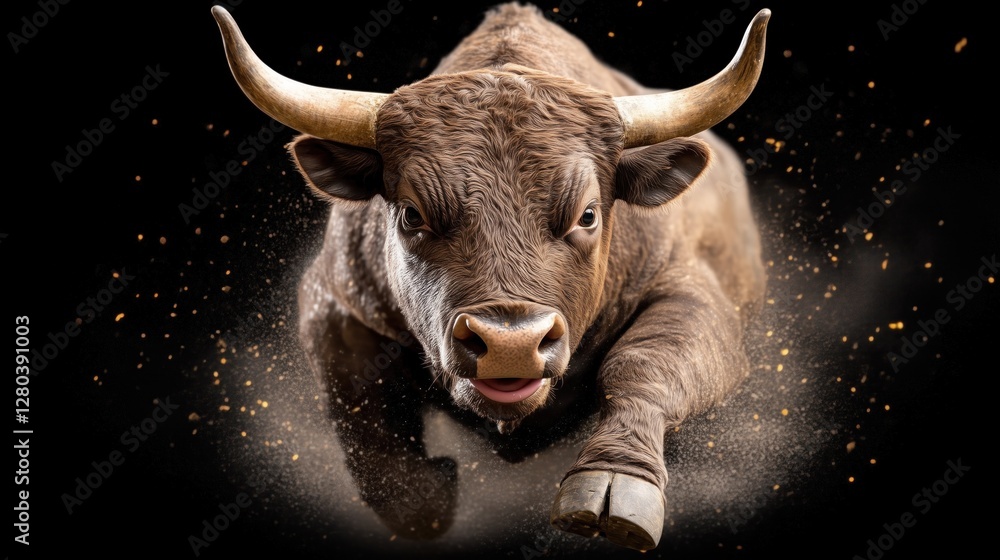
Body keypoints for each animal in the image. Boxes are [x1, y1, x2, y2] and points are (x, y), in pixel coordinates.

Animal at [212, 3, 769, 552]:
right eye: (411, 214)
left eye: (588, 215)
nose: (510, 345)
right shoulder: (333, 301)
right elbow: (363, 414)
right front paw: (426, 490)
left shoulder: (692, 291)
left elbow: (648, 360)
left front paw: (616, 480)